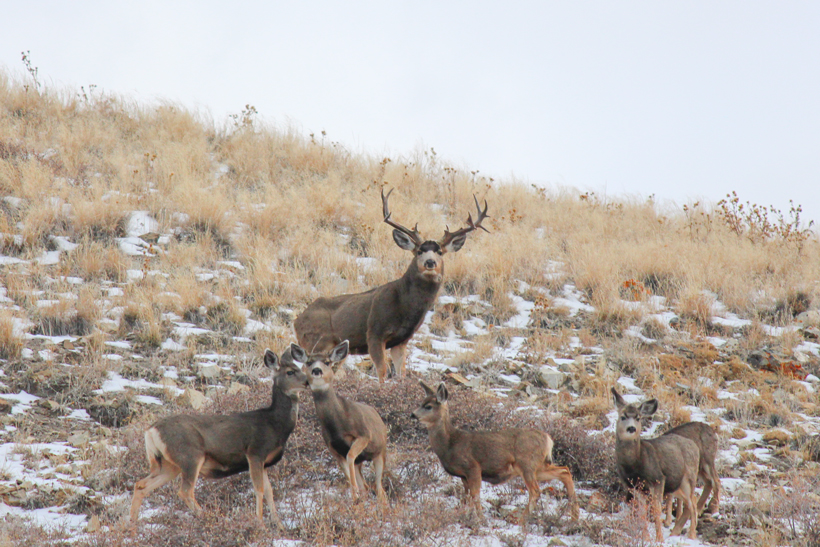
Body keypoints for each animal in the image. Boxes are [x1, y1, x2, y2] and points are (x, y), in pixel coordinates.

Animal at [129, 350, 308, 529]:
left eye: (299, 367)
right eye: (290, 372)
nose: (307, 381)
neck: (275, 424)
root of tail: (151, 431)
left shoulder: (265, 463)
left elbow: (270, 492)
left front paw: (280, 526)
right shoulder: (255, 453)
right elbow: (259, 490)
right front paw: (261, 525)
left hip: (168, 465)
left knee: (141, 485)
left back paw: (130, 529)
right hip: (190, 457)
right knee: (185, 491)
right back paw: (210, 519)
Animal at [290, 340, 388, 504]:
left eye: (327, 362)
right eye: (309, 362)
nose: (316, 370)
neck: (338, 425)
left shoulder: (364, 435)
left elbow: (350, 456)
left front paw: (354, 495)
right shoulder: (333, 449)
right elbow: (347, 471)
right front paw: (354, 497)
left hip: (380, 452)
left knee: (380, 489)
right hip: (362, 461)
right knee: (367, 487)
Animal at [293, 188, 489, 383]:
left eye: (440, 251)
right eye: (419, 251)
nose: (430, 262)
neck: (405, 306)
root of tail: (297, 320)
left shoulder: (402, 340)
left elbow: (401, 372)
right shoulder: (374, 332)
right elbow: (382, 370)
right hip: (317, 341)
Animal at [412, 381, 579, 525]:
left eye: (428, 406)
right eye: (421, 402)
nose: (412, 414)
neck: (450, 444)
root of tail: (548, 439)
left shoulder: (473, 467)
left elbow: (475, 495)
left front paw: (481, 520)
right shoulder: (463, 476)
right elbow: (467, 498)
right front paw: (466, 515)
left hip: (527, 464)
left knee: (536, 491)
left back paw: (522, 521)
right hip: (539, 466)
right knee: (564, 471)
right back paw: (574, 517)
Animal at [612, 387, 700, 541]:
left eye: (638, 417)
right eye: (623, 417)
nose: (631, 428)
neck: (634, 465)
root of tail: (694, 446)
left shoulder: (658, 479)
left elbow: (656, 509)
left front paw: (659, 539)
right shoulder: (636, 488)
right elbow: (642, 512)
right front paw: (646, 538)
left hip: (689, 478)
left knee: (692, 501)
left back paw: (692, 535)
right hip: (676, 484)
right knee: (690, 500)